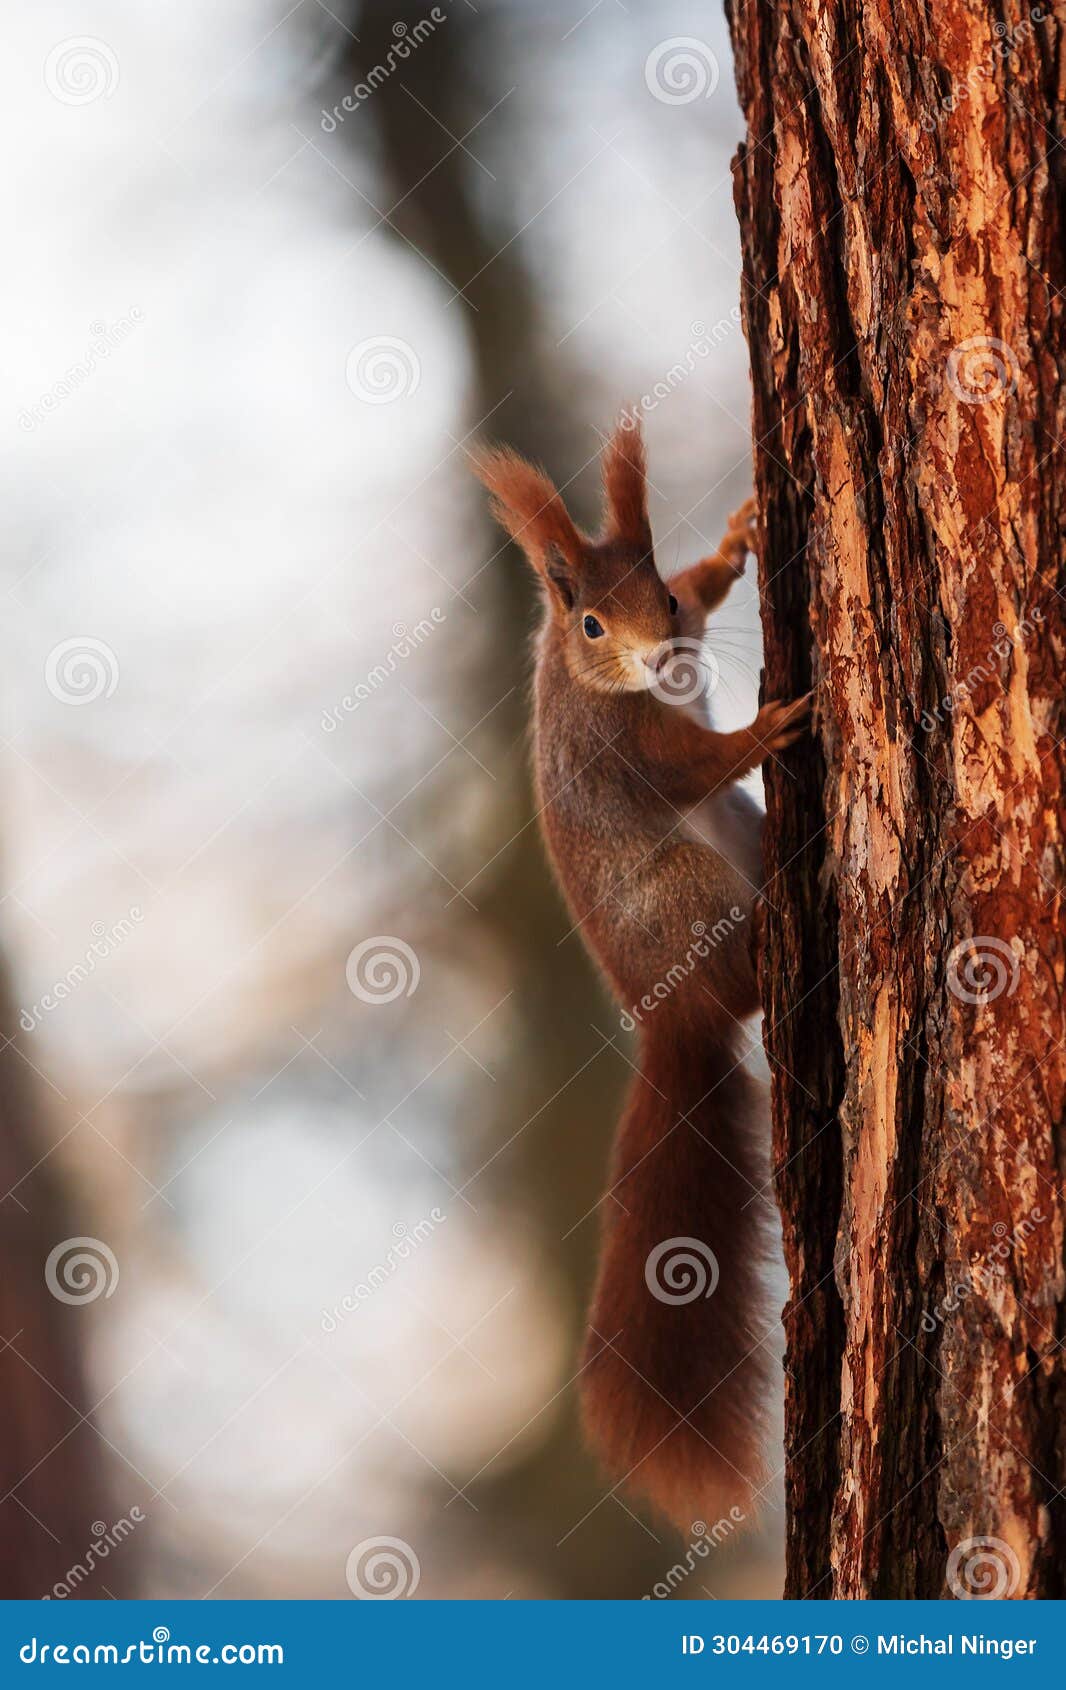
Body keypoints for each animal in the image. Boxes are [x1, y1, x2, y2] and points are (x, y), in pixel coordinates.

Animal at [474, 416, 811, 1536]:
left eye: (658, 596)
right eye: (588, 622)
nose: (661, 653)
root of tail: (672, 1022)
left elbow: (713, 594)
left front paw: (737, 540)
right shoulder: (624, 746)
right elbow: (683, 767)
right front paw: (763, 729)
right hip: (687, 887)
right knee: (741, 983)